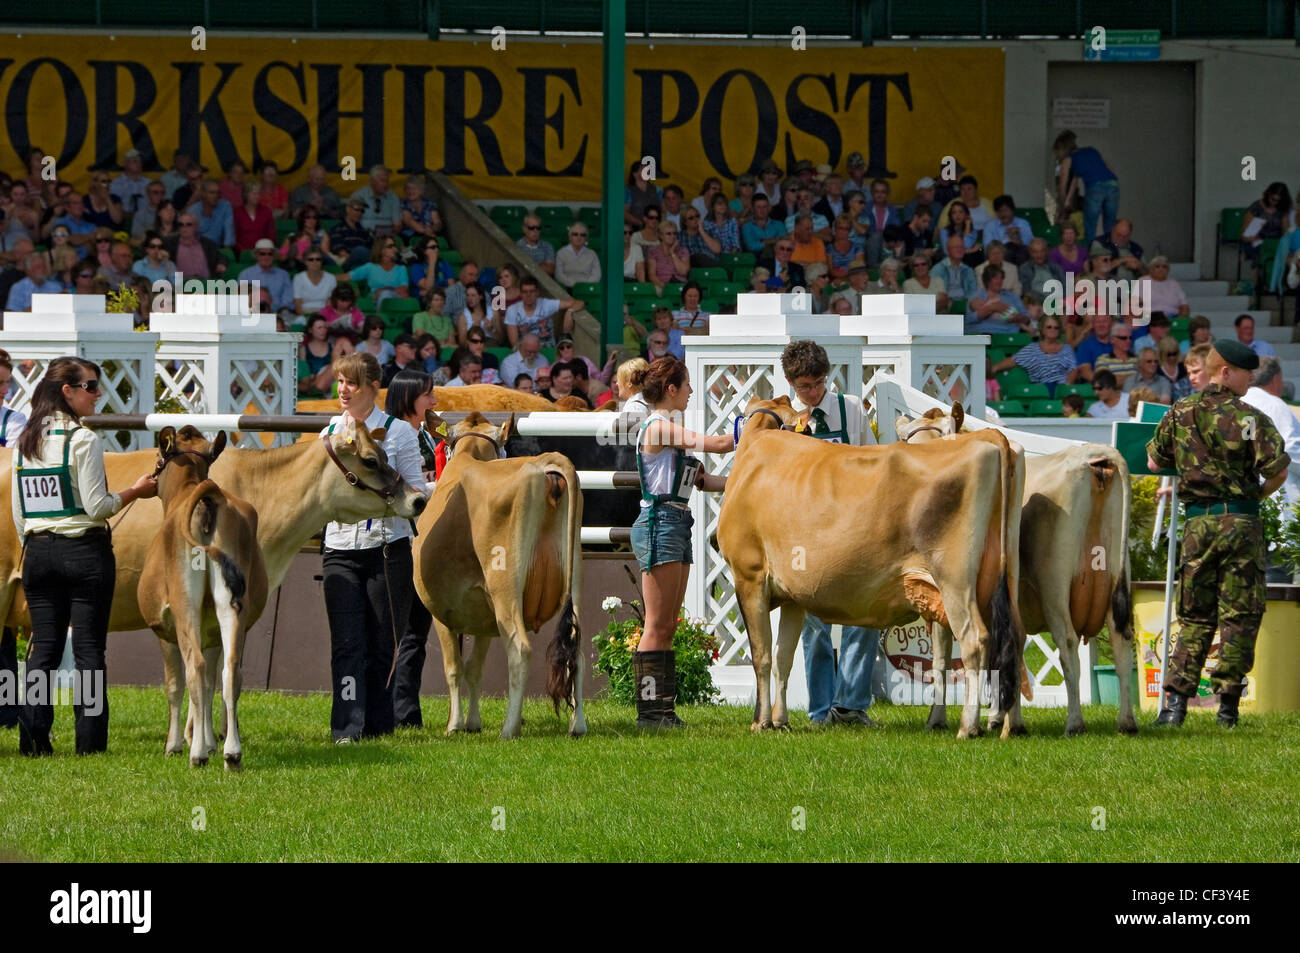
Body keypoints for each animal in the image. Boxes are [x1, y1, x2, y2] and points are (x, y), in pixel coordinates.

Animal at [138, 426, 269, 768]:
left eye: (158, 458)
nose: (150, 479)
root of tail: (209, 495)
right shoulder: (211, 633)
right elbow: (211, 684)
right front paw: (209, 741)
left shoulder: (164, 629)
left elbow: (175, 685)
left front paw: (176, 744)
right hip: (232, 607)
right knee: (231, 671)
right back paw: (231, 753)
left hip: (185, 606)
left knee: (193, 667)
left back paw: (196, 755)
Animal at [412, 412, 585, 739]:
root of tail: (542, 463)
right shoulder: (484, 612)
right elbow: (474, 668)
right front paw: (473, 722)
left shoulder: (440, 612)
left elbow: (454, 668)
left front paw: (455, 724)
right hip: (573, 570)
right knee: (576, 647)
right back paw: (578, 725)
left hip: (505, 587)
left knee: (520, 649)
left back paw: (509, 728)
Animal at [718, 396, 1026, 739]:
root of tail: (988, 440)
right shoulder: (793, 597)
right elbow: (783, 657)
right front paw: (780, 720)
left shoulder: (749, 575)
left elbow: (762, 655)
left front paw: (760, 721)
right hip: (1003, 574)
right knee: (1014, 638)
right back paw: (1009, 725)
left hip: (955, 580)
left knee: (975, 640)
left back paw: (969, 726)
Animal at [898, 405, 1137, 734]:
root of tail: (1095, 454)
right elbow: (1008, 652)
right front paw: (1003, 718)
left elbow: (943, 659)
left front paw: (939, 718)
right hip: (1117, 575)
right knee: (1121, 640)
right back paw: (1126, 721)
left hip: (1054, 585)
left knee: (1067, 644)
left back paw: (1074, 722)